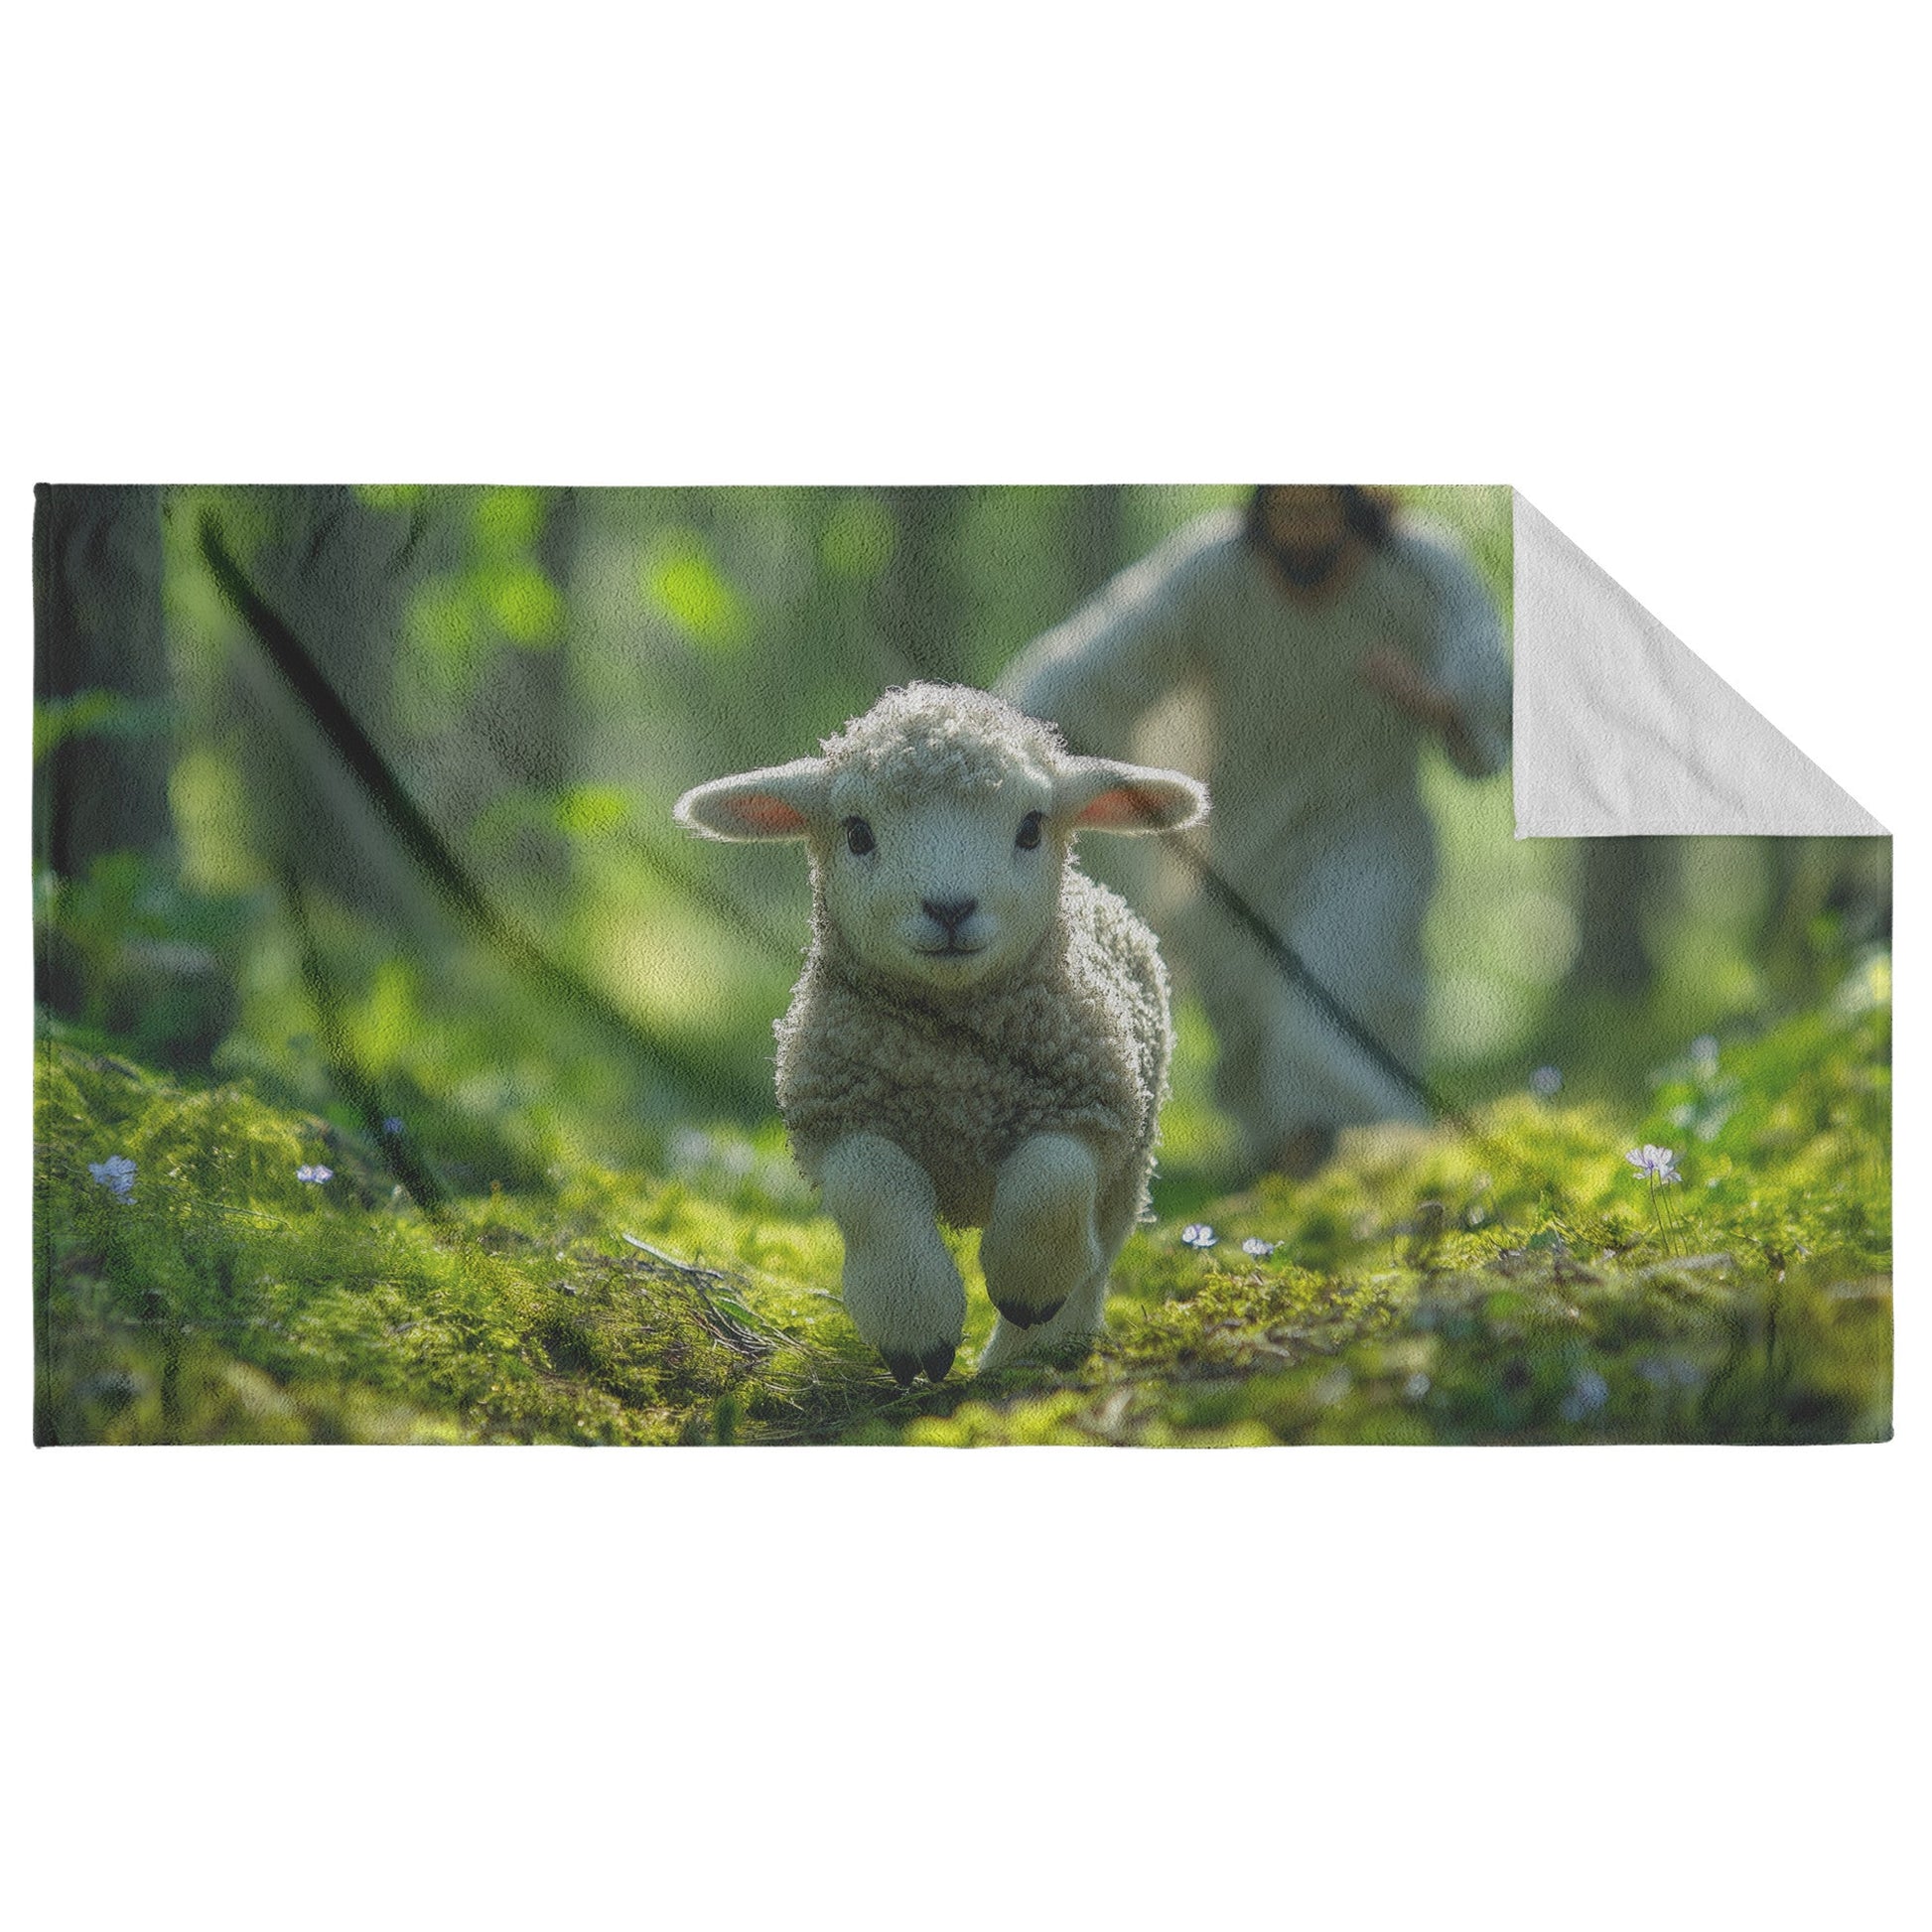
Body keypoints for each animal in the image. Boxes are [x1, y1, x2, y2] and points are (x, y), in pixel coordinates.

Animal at [674, 683, 1208, 1382]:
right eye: (857, 832)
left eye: (1031, 828)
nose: (950, 908)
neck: (955, 1075)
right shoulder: (839, 1120)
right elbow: (875, 1190)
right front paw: (915, 1329)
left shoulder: (1093, 1104)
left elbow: (1053, 1177)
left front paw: (1026, 1286)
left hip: (1135, 1154)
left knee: (1097, 1256)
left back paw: (1032, 1355)